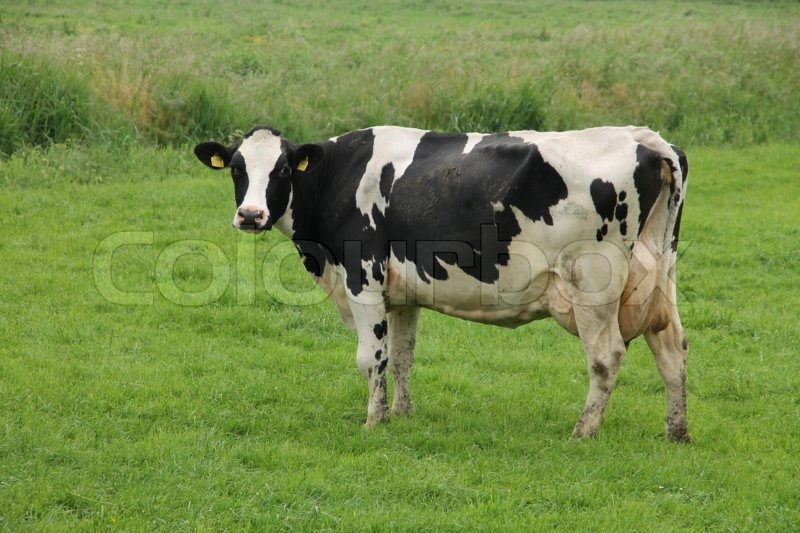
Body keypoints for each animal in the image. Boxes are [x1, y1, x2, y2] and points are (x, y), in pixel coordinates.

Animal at [194, 124, 689, 442]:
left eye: (281, 170)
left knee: (606, 357)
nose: (251, 215)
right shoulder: (401, 293)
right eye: (237, 169)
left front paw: (374, 422)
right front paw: (401, 413)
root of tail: (644, 137)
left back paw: (583, 431)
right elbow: (401, 357)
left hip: (592, 282)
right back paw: (676, 431)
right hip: (659, 276)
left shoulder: (363, 279)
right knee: (672, 349)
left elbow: (370, 358)